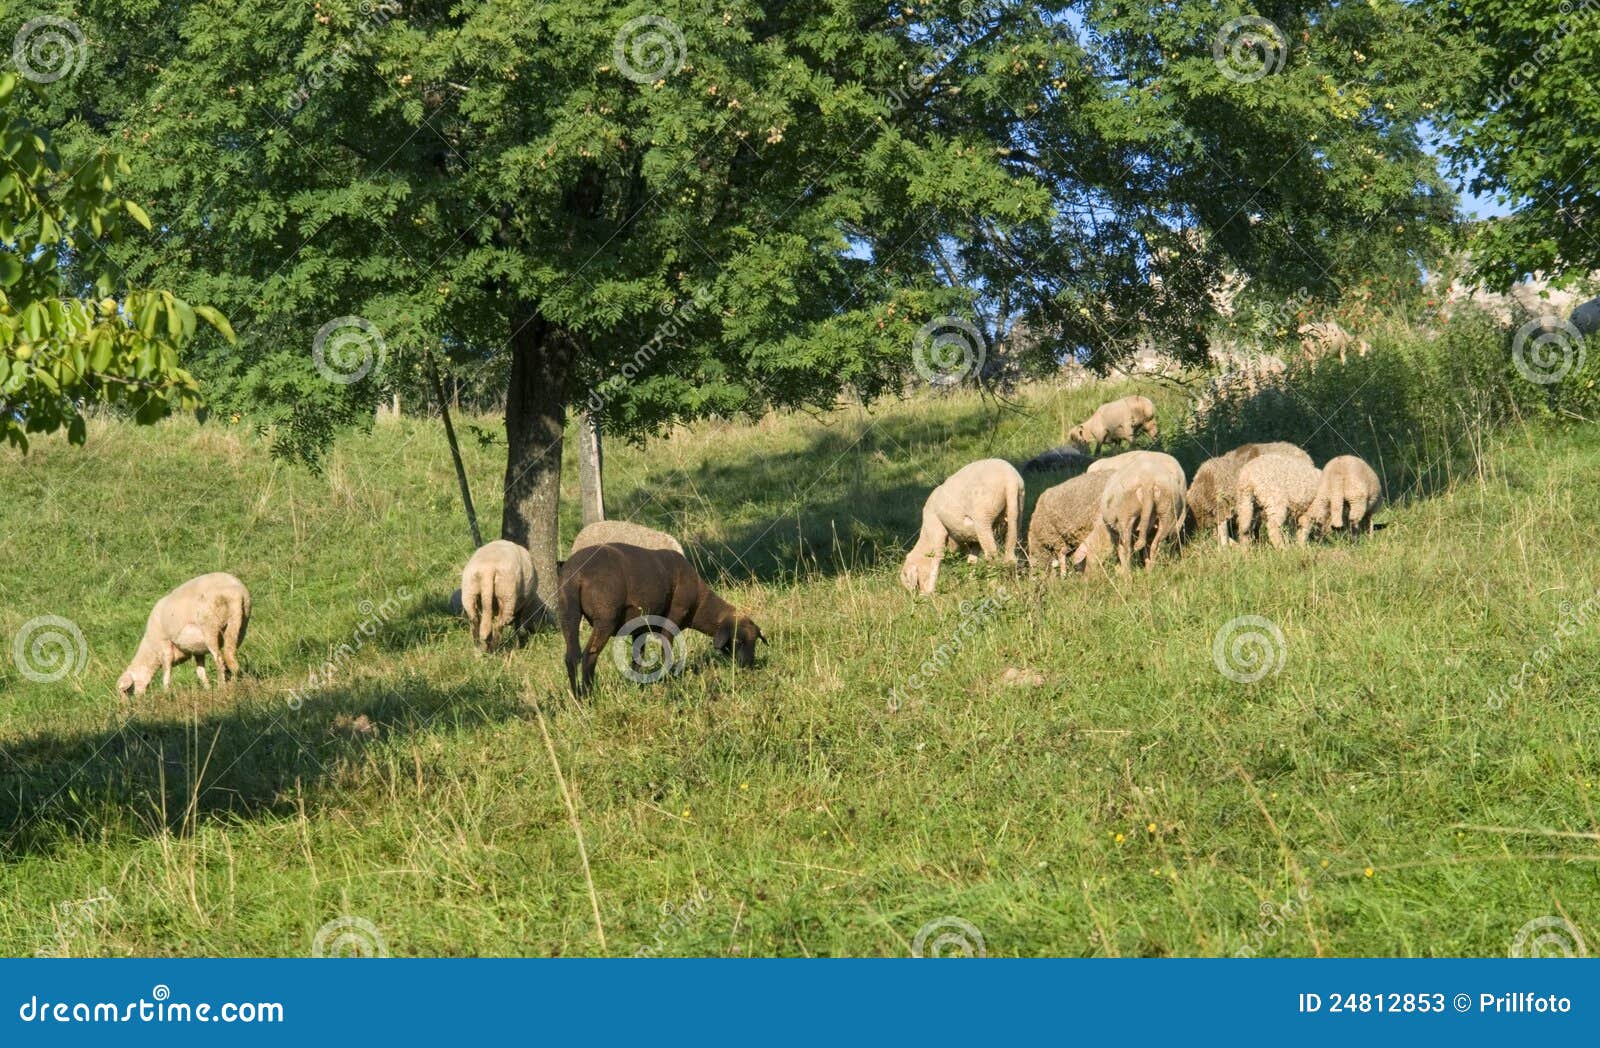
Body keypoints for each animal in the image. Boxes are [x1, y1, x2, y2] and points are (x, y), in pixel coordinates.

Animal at [117, 572, 251, 698]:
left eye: (127, 690)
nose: (133, 705)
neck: (151, 649)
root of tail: (235, 593)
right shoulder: (197, 651)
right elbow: (200, 672)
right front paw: (207, 689)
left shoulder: (165, 647)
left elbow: (166, 675)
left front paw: (167, 694)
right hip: (238, 624)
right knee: (231, 656)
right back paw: (233, 683)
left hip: (210, 628)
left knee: (219, 660)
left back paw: (221, 686)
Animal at [559, 543, 765, 696]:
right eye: (738, 641)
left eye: (755, 640)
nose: (748, 665)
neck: (700, 604)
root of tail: (575, 574)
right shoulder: (673, 618)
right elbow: (667, 652)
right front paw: (667, 680)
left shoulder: (639, 628)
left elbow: (637, 658)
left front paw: (638, 685)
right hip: (605, 618)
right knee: (589, 655)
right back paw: (588, 696)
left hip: (568, 615)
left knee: (571, 656)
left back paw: (576, 697)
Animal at [900, 458, 1024, 595]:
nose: (913, 595)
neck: (926, 537)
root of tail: (1009, 477)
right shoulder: (974, 540)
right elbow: (972, 560)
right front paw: (971, 585)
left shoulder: (936, 528)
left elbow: (937, 559)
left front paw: (929, 592)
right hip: (1016, 513)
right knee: (1010, 555)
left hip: (983, 517)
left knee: (991, 556)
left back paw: (992, 585)